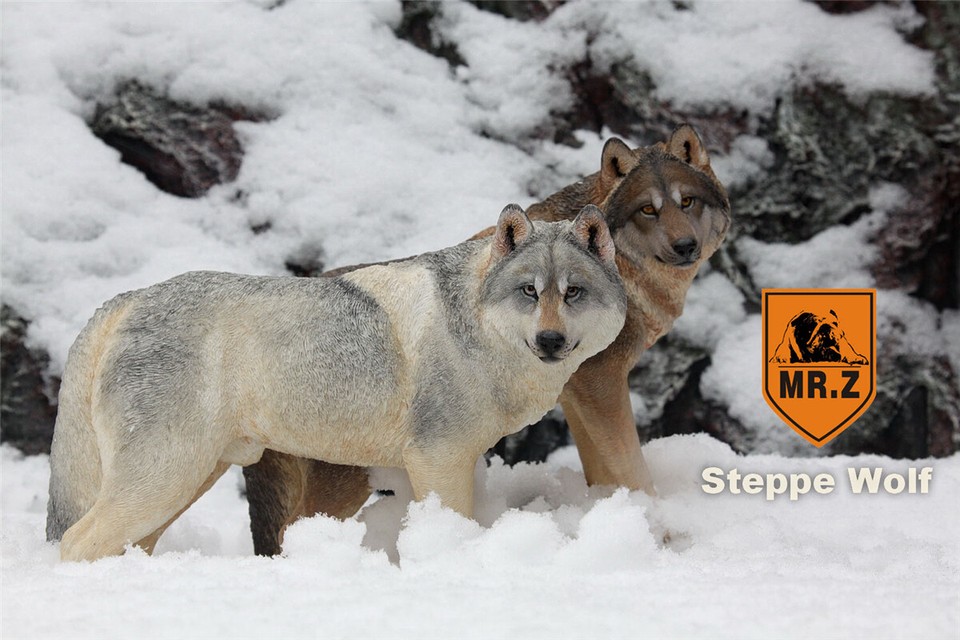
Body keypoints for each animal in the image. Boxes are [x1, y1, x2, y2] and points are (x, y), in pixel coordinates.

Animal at [45, 204, 627, 562]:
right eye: (529, 291)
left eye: (572, 293)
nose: (550, 340)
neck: (475, 328)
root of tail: (128, 299)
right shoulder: (439, 458)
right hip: (165, 480)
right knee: (73, 542)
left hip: (184, 484)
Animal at [242, 124, 731, 556]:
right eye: (648, 210)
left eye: (687, 201)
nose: (685, 246)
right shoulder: (600, 385)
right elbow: (631, 465)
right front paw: (661, 534)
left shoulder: (578, 396)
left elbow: (602, 470)